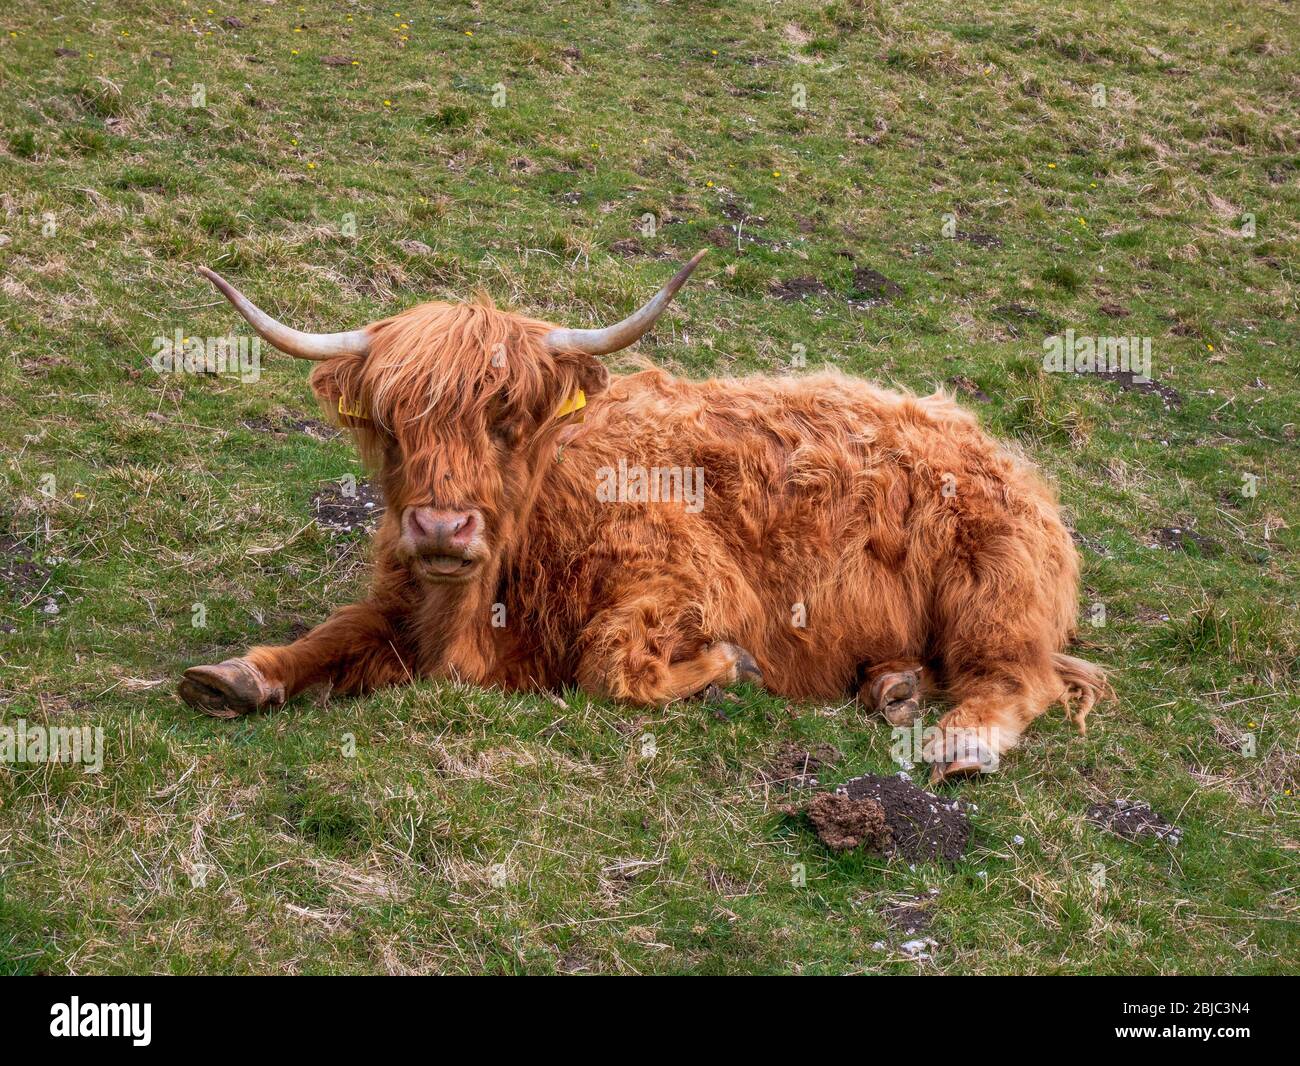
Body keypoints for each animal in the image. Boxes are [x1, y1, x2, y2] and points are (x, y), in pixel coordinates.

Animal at [179, 252, 1108, 783]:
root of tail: (985, 436)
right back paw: (894, 686)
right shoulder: (403, 594)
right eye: (392, 422)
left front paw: (731, 666)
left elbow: (607, 667)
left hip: (994, 586)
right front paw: (233, 675)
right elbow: (334, 632)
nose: (442, 530)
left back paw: (959, 743)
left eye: (506, 416)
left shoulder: (684, 585)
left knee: (1017, 677)